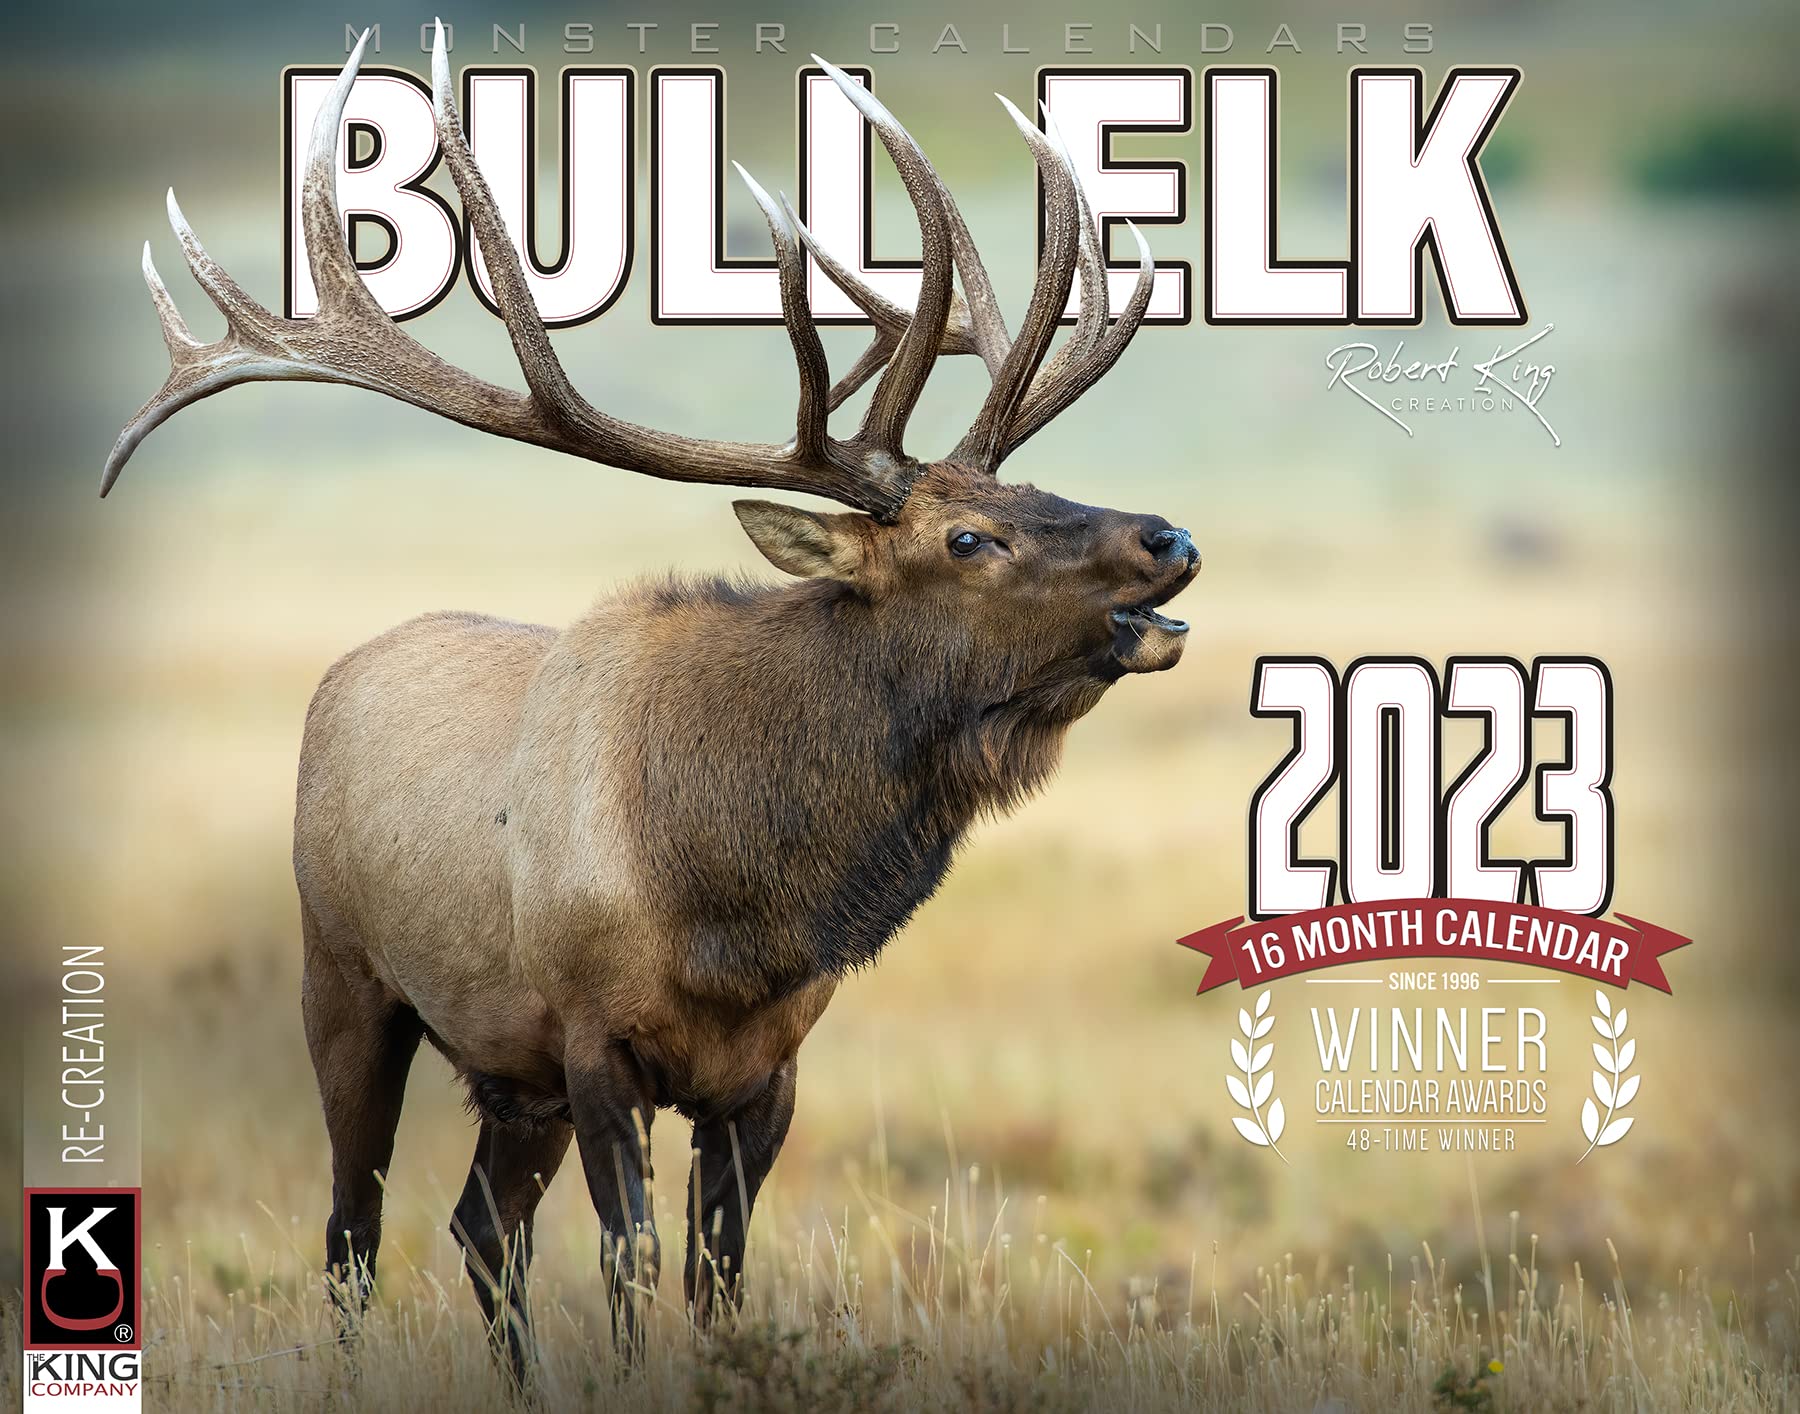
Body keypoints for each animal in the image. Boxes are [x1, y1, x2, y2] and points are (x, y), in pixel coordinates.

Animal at [100, 23, 1199, 1379]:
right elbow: (628, 1261)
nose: (1168, 537)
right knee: (353, 1230)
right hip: (347, 977)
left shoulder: (769, 1064)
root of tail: (348, 668)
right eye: (968, 537)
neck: (740, 899)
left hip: (506, 1067)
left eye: (1034, 487)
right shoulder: (593, 1036)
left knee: (476, 1224)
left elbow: (718, 1273)